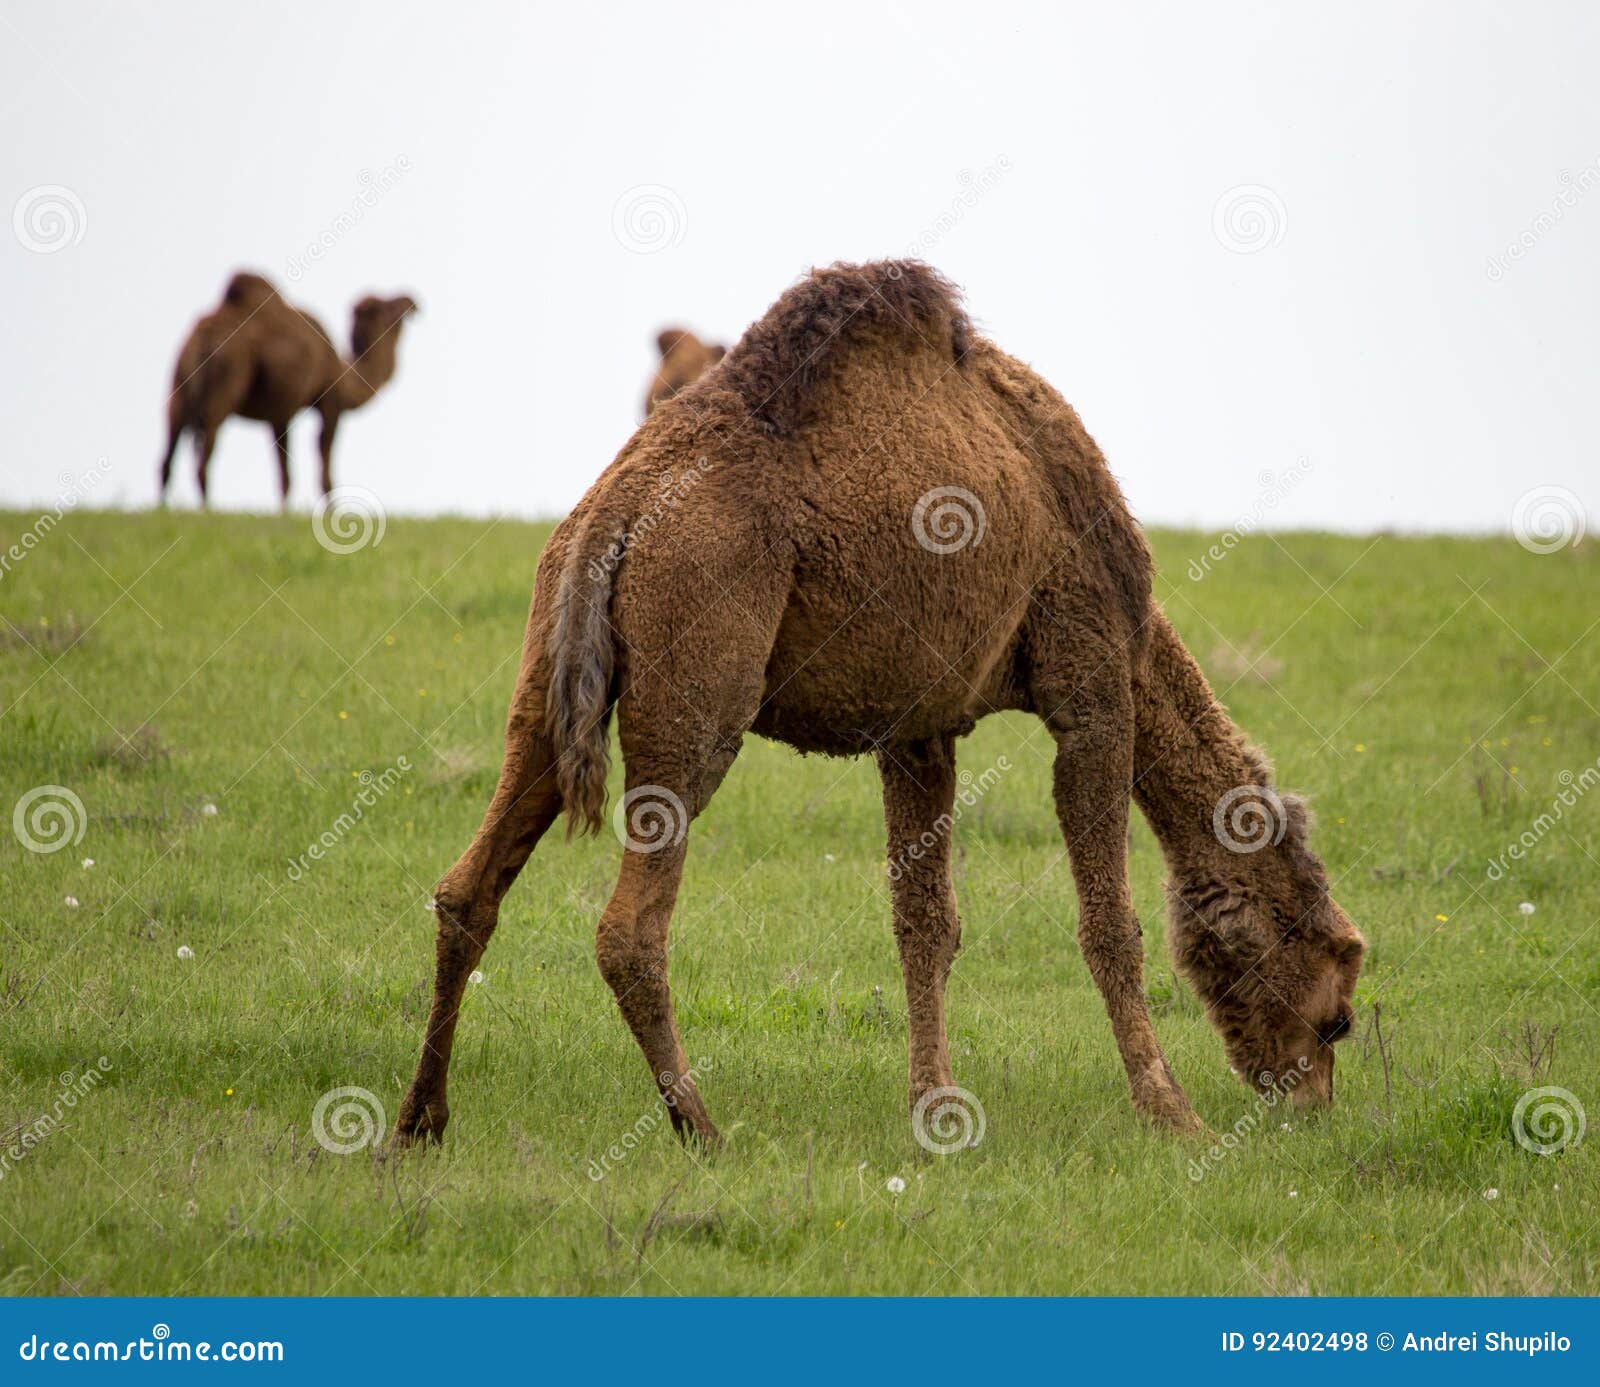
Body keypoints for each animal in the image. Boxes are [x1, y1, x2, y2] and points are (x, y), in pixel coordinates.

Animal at [158, 272, 418, 506]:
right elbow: (322, 469)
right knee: (203, 459)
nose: (413, 303)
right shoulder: (328, 403)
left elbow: (284, 474)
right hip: (226, 381)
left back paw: (164, 510)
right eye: (388, 306)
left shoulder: (280, 411)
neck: (341, 371)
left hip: (178, 386)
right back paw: (207, 511)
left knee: (166, 459)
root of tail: (204, 337)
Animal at [394, 260, 1364, 1150]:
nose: (1313, 1106)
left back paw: (420, 1120)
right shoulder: (1088, 681)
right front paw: (1171, 1113)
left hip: (547, 665)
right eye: (1338, 1010)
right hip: (697, 673)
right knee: (630, 927)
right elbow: (1109, 924)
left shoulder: (919, 726)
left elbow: (925, 920)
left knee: (468, 887)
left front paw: (934, 1106)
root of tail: (615, 516)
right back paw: (701, 1127)